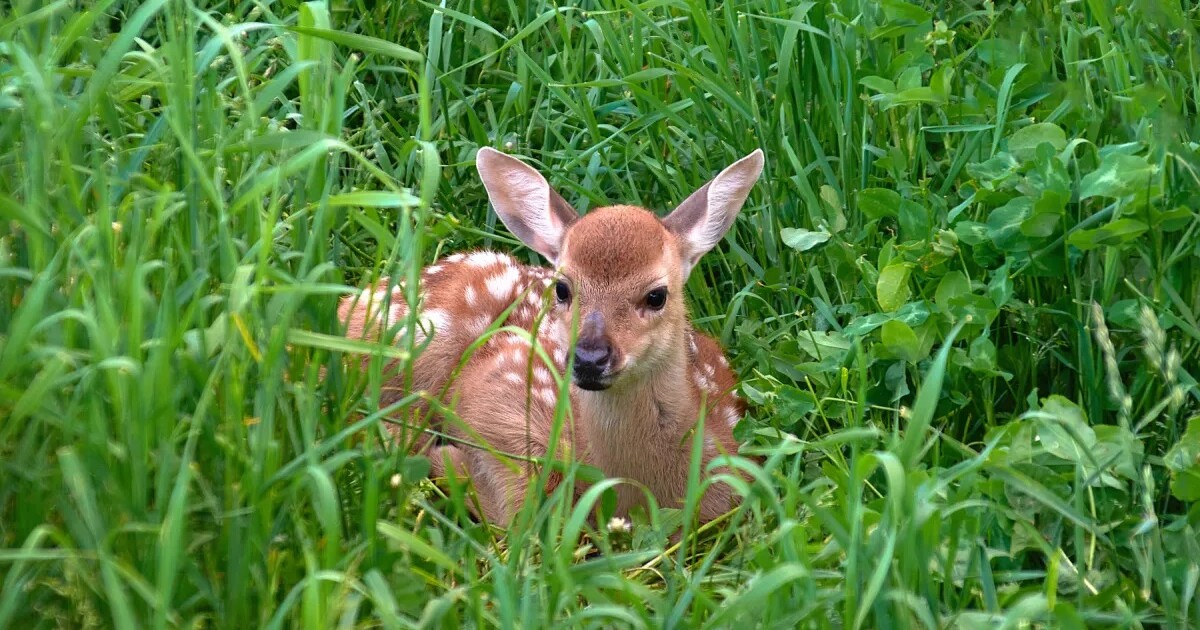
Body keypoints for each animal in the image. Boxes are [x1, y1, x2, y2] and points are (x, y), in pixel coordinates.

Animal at [337, 147, 765, 527]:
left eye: (656, 295)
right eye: (562, 288)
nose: (590, 358)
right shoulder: (503, 400)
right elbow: (518, 509)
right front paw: (449, 462)